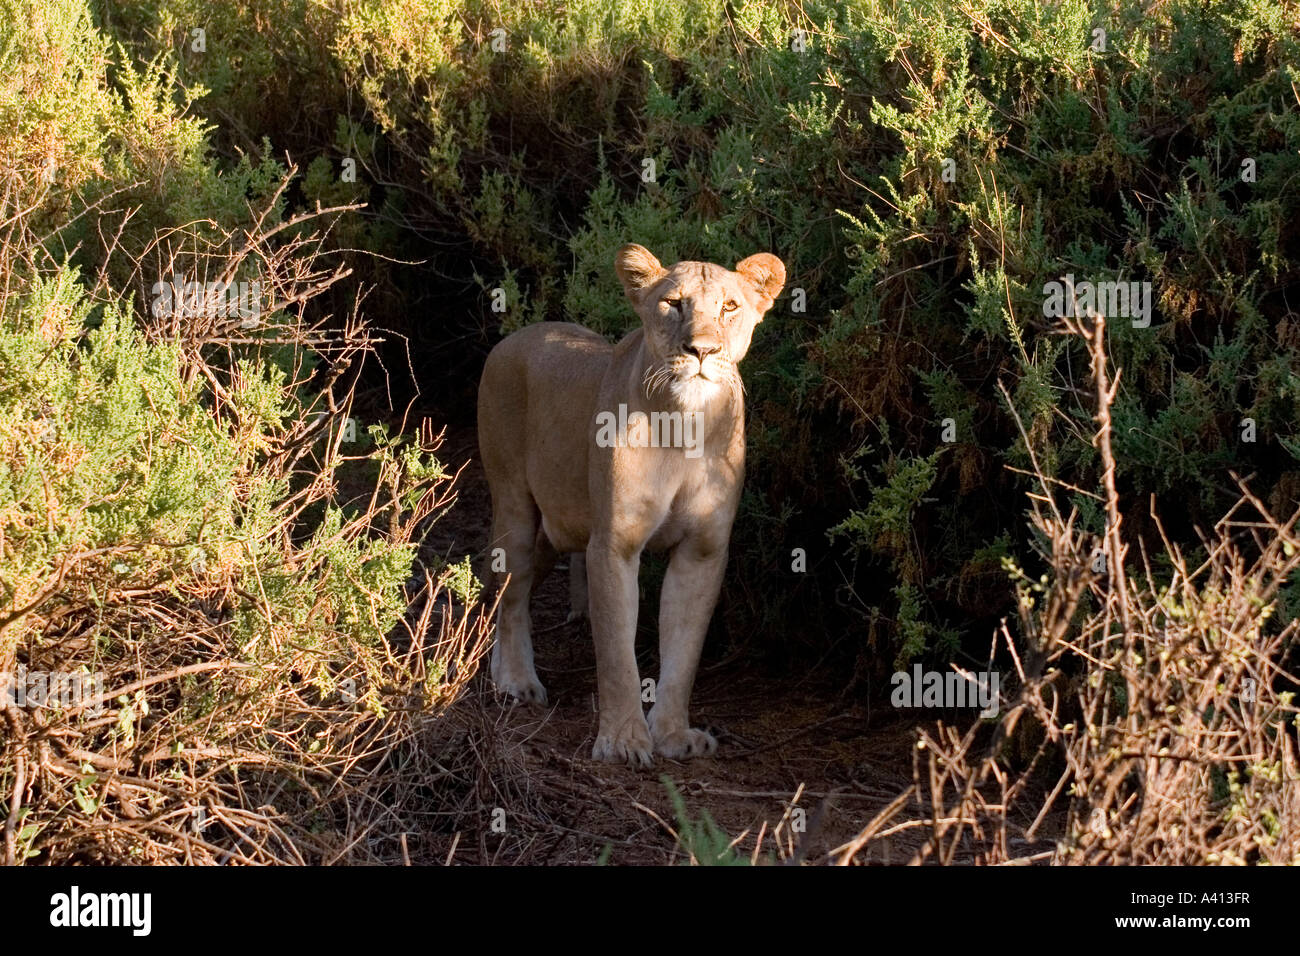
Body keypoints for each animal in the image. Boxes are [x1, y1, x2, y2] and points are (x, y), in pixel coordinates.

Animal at [476, 244, 786, 764]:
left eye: (729, 307)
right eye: (673, 304)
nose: (702, 350)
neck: (684, 426)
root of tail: (518, 334)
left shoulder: (703, 552)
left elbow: (684, 651)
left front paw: (674, 735)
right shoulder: (613, 545)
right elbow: (617, 651)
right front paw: (623, 742)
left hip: (555, 530)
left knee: (509, 591)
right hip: (513, 504)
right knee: (513, 593)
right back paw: (517, 681)